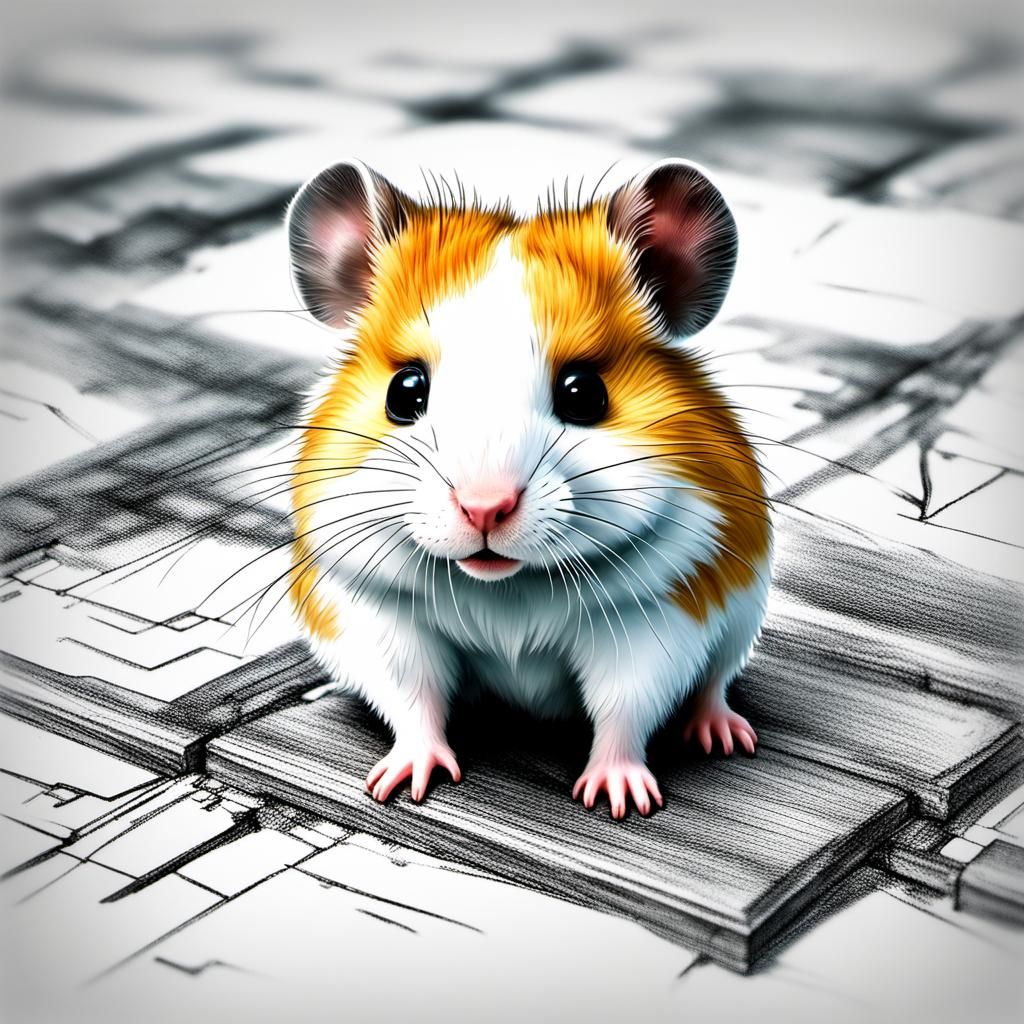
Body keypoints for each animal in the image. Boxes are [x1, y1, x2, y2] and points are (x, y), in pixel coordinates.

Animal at [284, 158, 771, 819]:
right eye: (405, 391)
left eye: (584, 392)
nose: (484, 509)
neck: (506, 590)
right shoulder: (379, 617)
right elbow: (413, 698)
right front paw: (400, 785)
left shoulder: (653, 620)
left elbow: (624, 709)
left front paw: (617, 801)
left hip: (740, 618)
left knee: (713, 684)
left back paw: (724, 735)